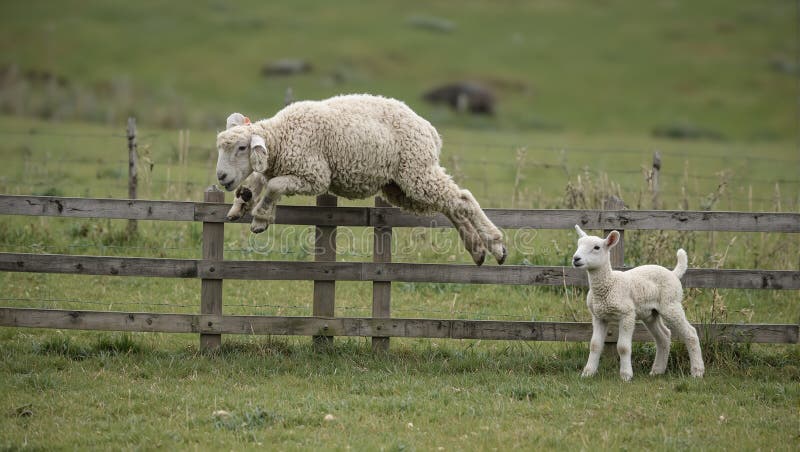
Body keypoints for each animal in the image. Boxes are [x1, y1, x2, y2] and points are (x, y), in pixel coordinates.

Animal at [215, 94, 507, 265]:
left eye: (241, 147)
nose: (221, 176)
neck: (283, 136)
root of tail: (431, 131)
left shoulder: (314, 174)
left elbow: (273, 185)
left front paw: (260, 218)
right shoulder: (278, 166)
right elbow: (258, 180)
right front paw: (240, 204)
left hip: (416, 170)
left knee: (462, 198)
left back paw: (496, 245)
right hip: (402, 186)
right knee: (451, 204)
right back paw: (477, 249)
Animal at [571, 225, 704, 380]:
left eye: (596, 247)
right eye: (578, 245)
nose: (576, 258)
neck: (609, 284)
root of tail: (673, 273)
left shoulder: (627, 314)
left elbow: (623, 347)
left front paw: (626, 375)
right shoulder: (599, 316)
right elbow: (595, 345)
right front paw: (588, 373)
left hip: (671, 304)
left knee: (691, 333)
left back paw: (697, 372)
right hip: (651, 313)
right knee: (664, 336)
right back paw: (657, 370)